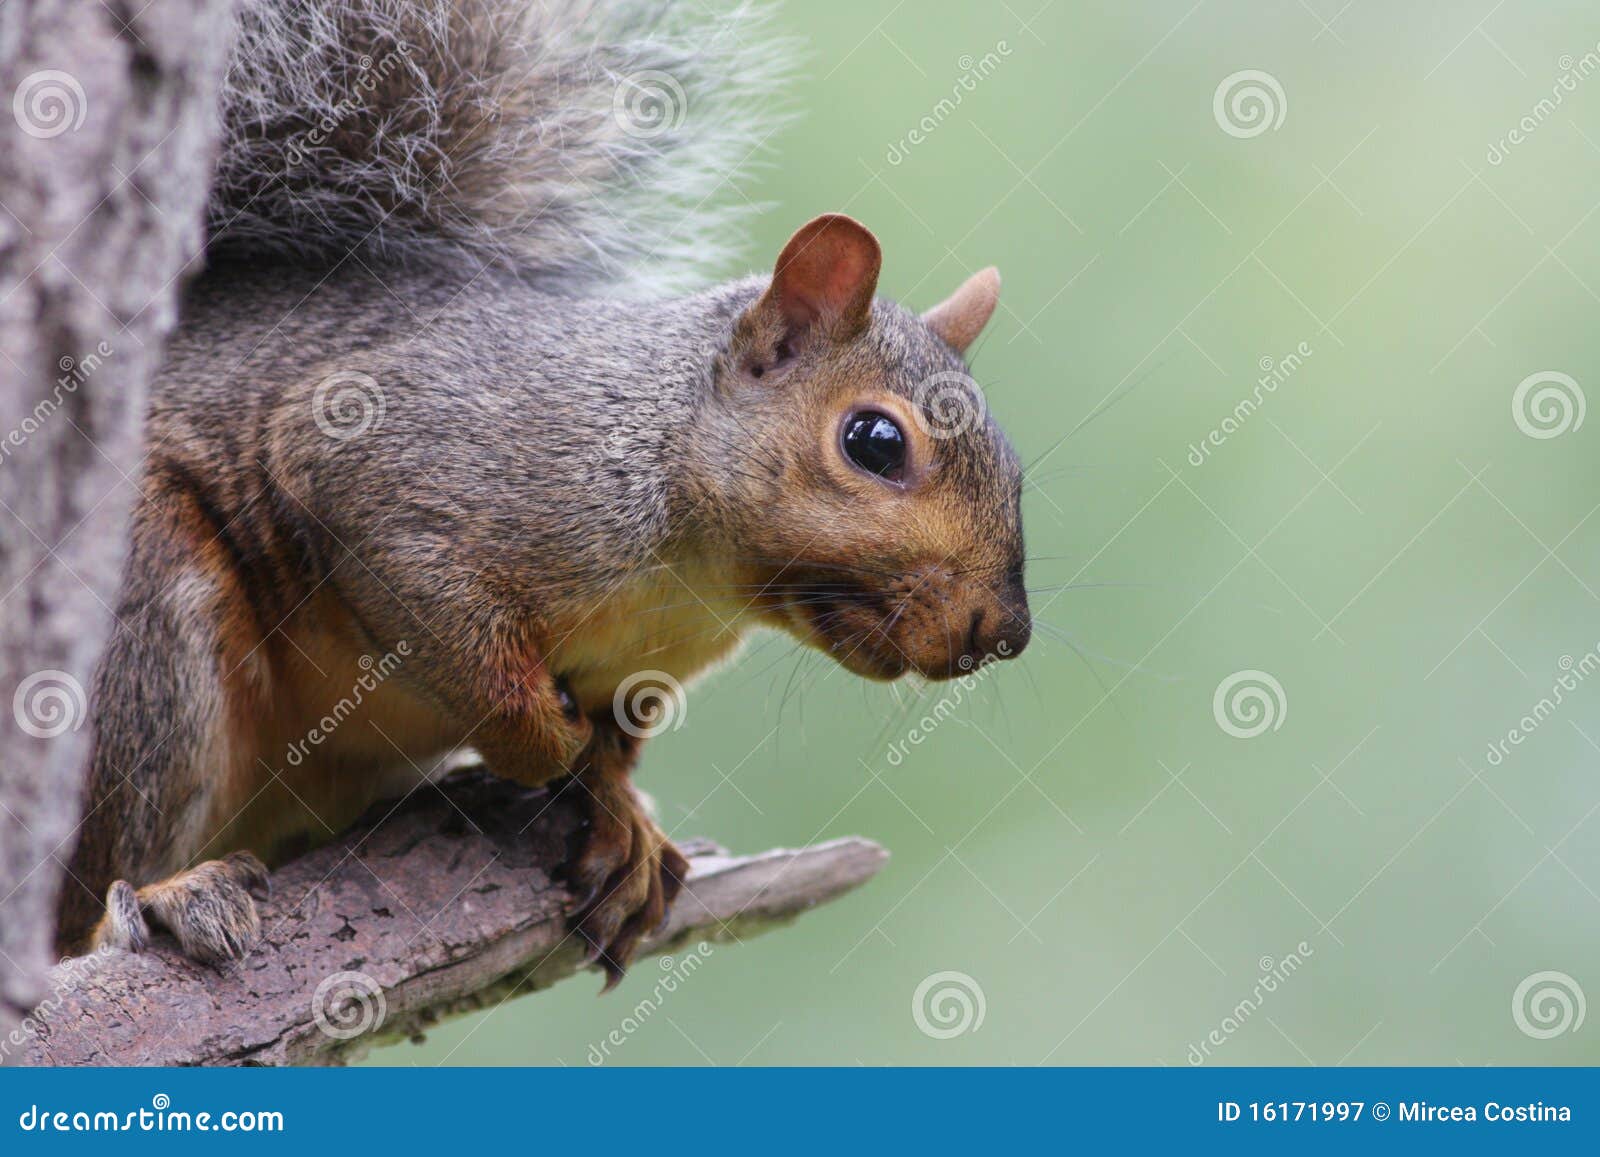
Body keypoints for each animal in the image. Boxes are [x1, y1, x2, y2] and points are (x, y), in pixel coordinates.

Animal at [56, 0, 1031, 987]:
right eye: (874, 442)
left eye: (1019, 469)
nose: (1004, 632)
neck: (698, 576)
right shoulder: (399, 470)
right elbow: (456, 639)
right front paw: (547, 745)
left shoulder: (639, 674)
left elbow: (615, 747)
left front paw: (619, 815)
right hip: (151, 619)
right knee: (91, 882)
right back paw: (160, 896)